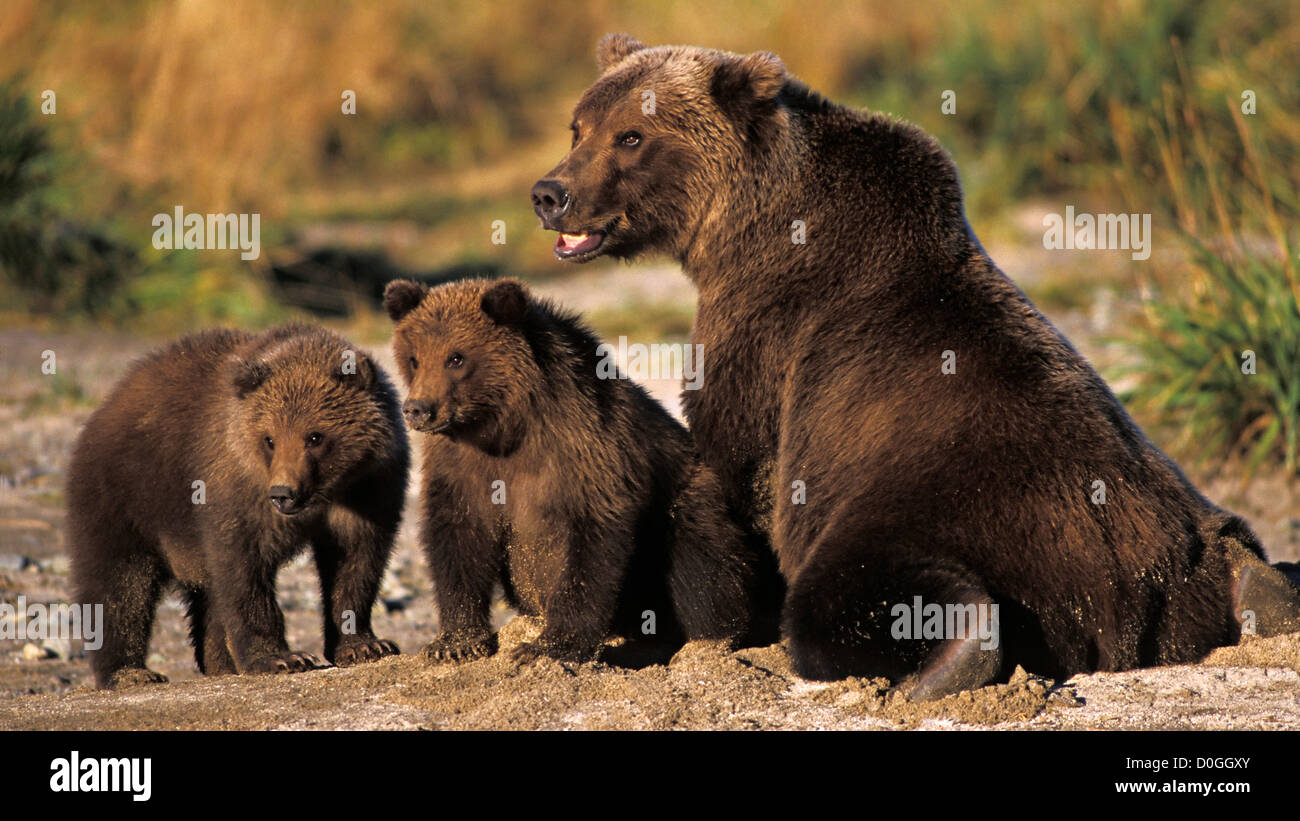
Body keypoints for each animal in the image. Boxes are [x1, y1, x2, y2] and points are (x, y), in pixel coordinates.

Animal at [66, 323, 408, 689]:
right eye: (270, 439)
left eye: (315, 436)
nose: (283, 493)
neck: (326, 493)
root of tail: (107, 405)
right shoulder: (236, 485)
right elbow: (243, 566)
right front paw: (282, 657)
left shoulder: (368, 488)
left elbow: (355, 560)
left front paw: (365, 645)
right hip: (126, 496)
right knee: (120, 583)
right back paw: (130, 672)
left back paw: (220, 662)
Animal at [383, 276, 771, 665]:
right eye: (414, 358)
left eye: (456, 357)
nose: (418, 409)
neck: (504, 425)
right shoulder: (462, 465)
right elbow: (458, 536)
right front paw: (455, 642)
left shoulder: (585, 446)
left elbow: (591, 539)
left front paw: (549, 646)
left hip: (692, 493)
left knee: (701, 554)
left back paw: (705, 644)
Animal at [529, 34, 1300, 698]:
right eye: (577, 127)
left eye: (631, 135)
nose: (549, 193)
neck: (748, 221)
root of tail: (1129, 586)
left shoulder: (767, 326)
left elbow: (738, 451)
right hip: (1186, 518)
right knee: (1234, 542)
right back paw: (1264, 590)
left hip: (942, 510)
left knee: (874, 591)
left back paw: (946, 660)